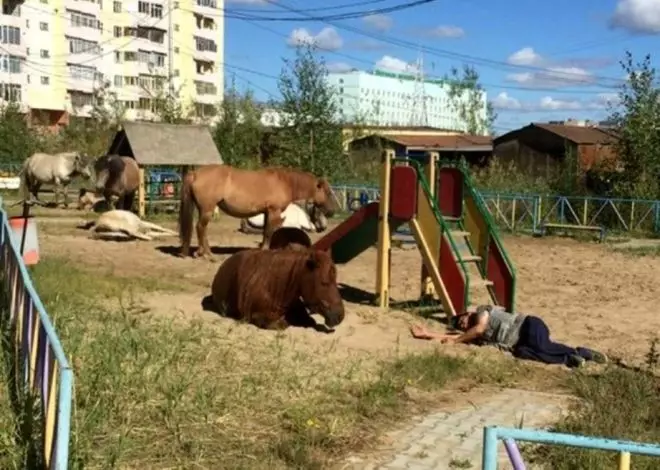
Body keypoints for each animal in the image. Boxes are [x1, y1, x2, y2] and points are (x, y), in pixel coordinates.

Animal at [179, 164, 338, 260]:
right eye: (328, 192)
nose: (332, 211)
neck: (286, 182)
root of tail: (195, 173)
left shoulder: (267, 212)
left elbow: (265, 232)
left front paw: (262, 248)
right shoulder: (274, 211)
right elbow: (268, 232)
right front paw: (265, 250)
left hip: (204, 209)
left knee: (201, 229)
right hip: (207, 209)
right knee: (201, 228)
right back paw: (205, 254)